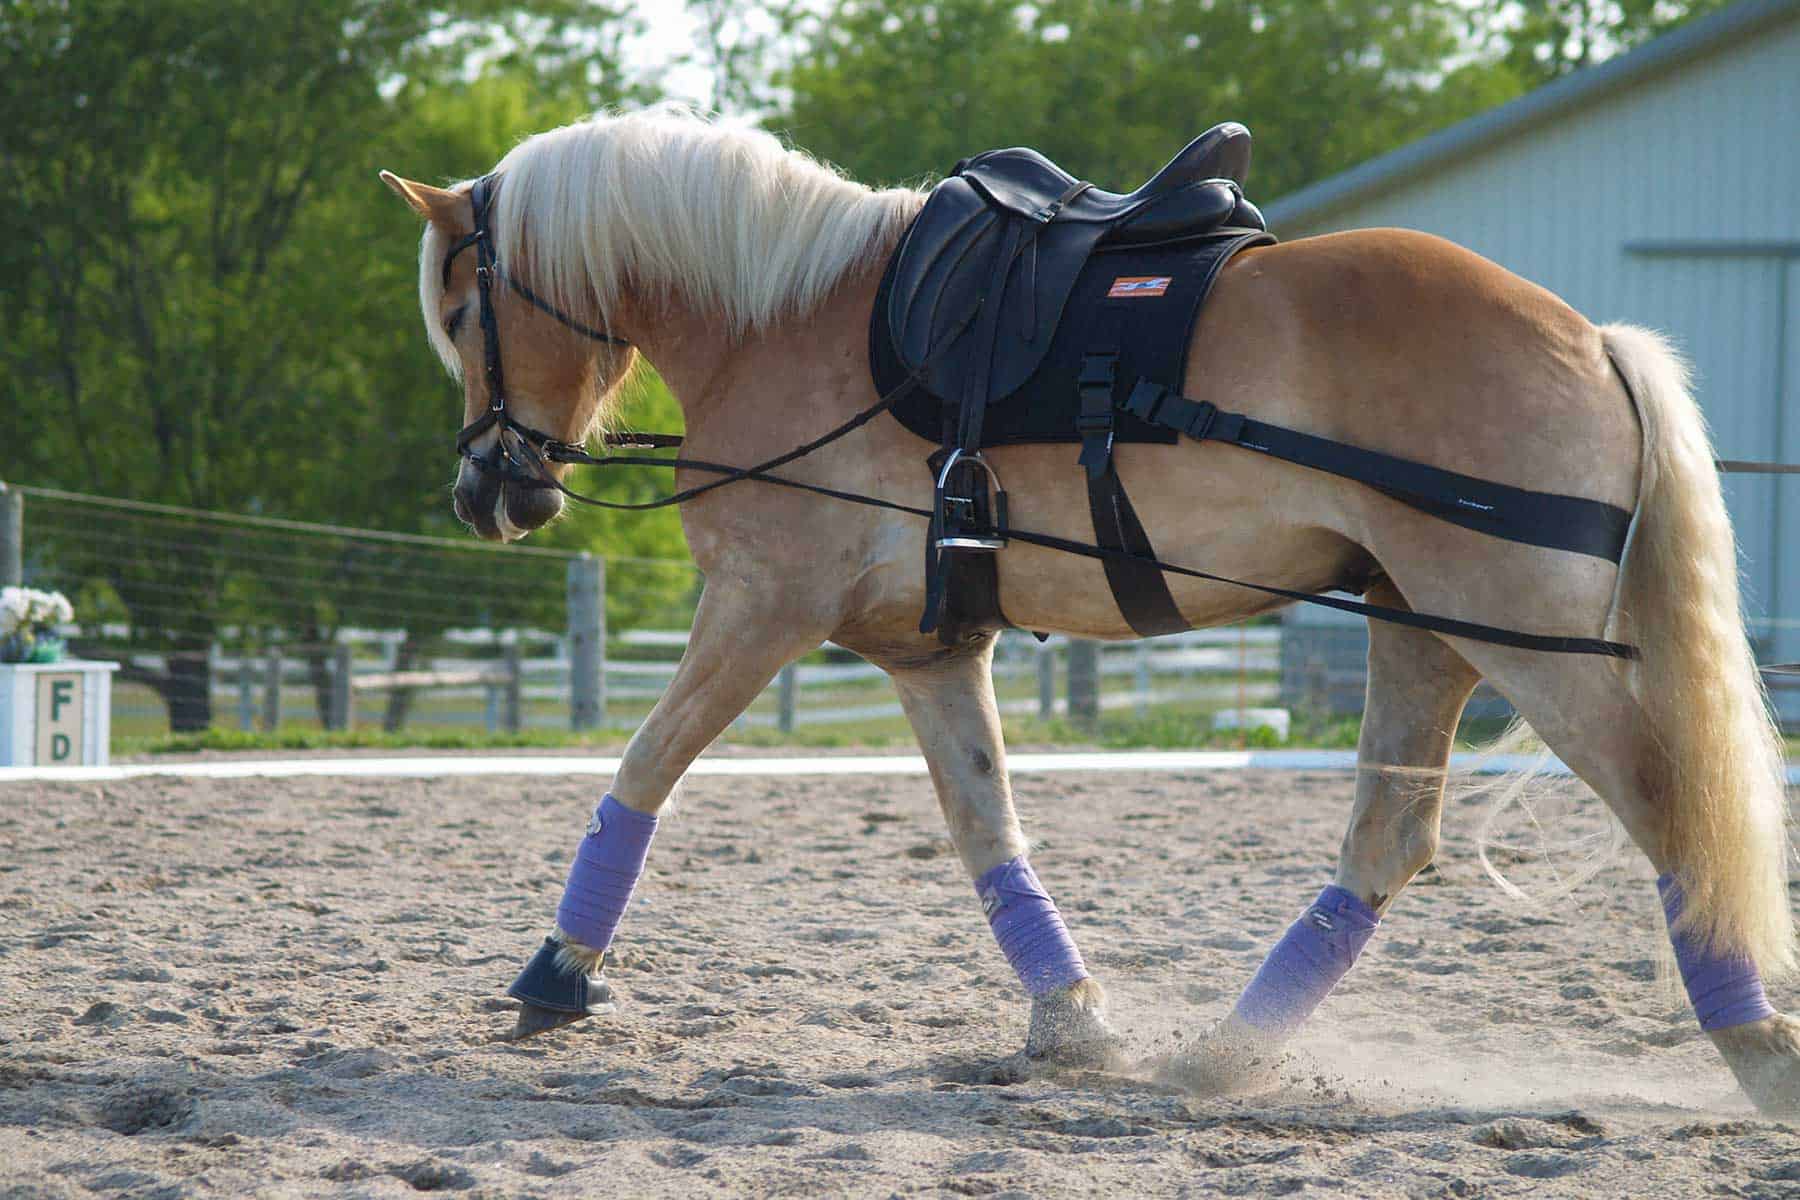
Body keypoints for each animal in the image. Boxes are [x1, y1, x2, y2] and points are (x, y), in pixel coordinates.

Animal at [380, 107, 1800, 1112]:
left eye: (457, 303)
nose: (485, 491)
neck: (788, 318)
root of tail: (1589, 336)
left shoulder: (760, 606)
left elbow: (642, 769)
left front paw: (557, 974)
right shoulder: (928, 651)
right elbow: (987, 832)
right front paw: (1074, 1022)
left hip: (1519, 640)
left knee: (1671, 809)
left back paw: (1754, 1045)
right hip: (1424, 634)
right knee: (1387, 845)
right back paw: (1224, 1052)